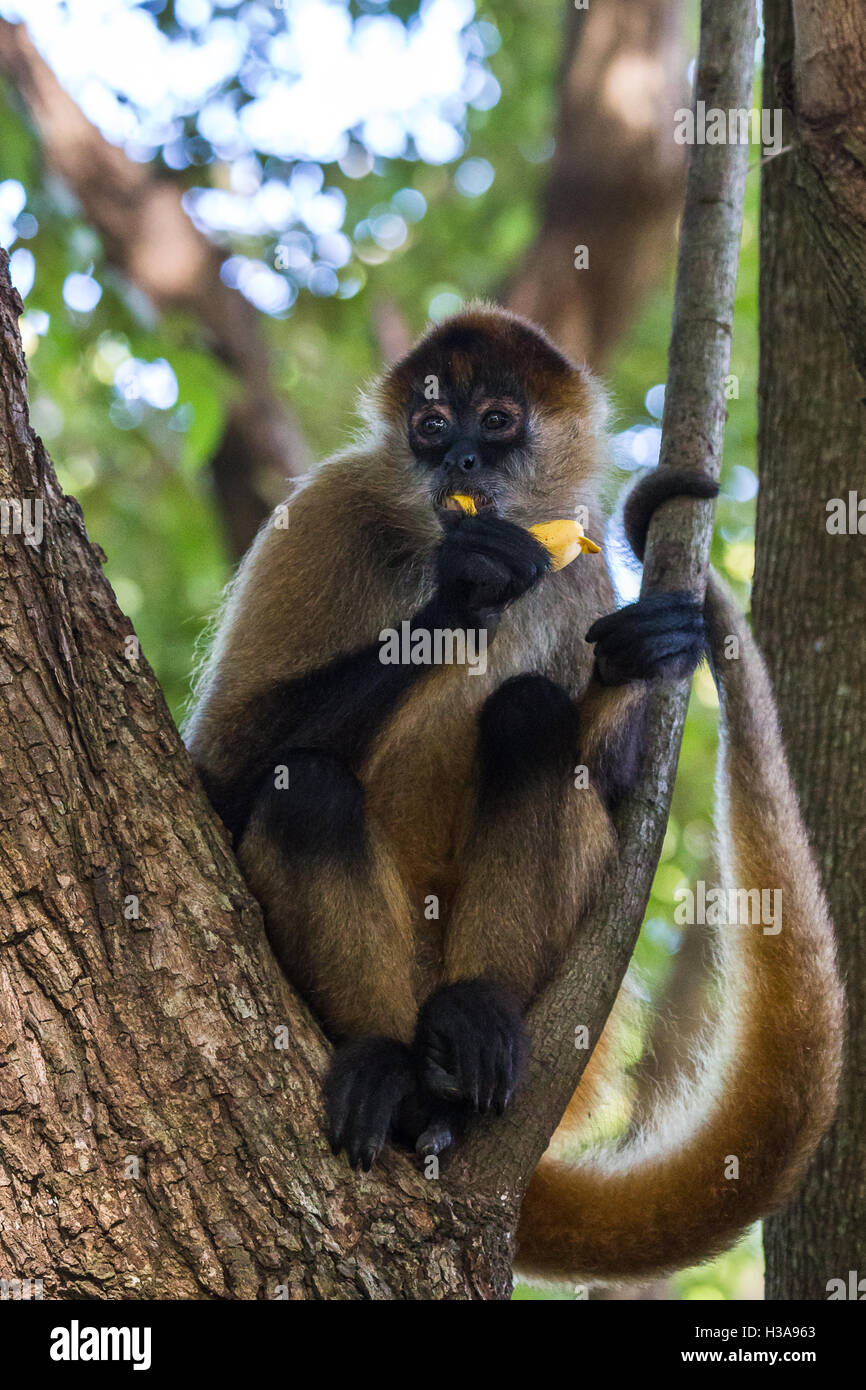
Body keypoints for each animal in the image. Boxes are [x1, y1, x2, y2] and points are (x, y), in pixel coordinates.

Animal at [185, 303, 843, 1283]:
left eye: (495, 421)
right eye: (430, 424)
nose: (458, 460)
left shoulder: (581, 557)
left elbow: (607, 779)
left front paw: (638, 658)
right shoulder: (328, 510)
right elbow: (220, 771)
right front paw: (468, 589)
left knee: (529, 717)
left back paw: (473, 1024)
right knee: (304, 788)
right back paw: (399, 1080)